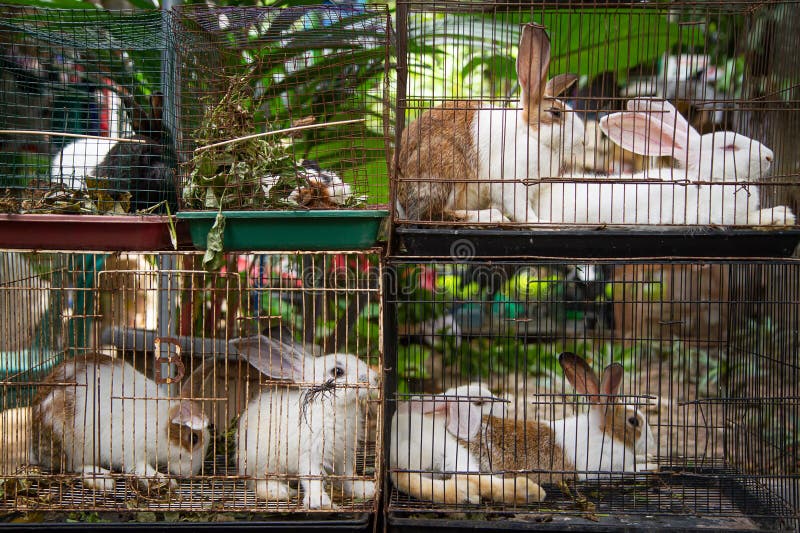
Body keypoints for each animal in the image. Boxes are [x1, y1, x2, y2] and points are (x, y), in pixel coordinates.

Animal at [30, 353, 210, 493]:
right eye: (193, 438)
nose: (191, 474)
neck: (161, 426)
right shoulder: (130, 449)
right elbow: (141, 467)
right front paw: (165, 481)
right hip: (72, 443)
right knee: (75, 466)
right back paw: (102, 480)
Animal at [233, 334, 379, 510]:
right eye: (337, 371)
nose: (375, 378)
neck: (331, 406)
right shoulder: (310, 454)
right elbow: (313, 479)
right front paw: (321, 503)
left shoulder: (344, 454)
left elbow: (348, 476)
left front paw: (366, 489)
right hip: (262, 460)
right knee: (259, 482)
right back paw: (280, 492)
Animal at [390, 382, 545, 505]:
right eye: (479, 402)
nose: (505, 409)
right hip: (452, 449)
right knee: (469, 476)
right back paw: (530, 491)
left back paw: (466, 495)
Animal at [395, 23, 585, 223]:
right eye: (556, 113)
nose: (583, 141)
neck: (532, 135)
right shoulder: (512, 183)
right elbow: (522, 211)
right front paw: (541, 223)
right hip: (446, 168)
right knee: (431, 214)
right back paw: (493, 217)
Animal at [456, 353, 657, 487]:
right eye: (633, 421)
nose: (651, 443)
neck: (605, 432)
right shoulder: (602, 469)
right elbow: (631, 470)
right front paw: (649, 467)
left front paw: (649, 461)